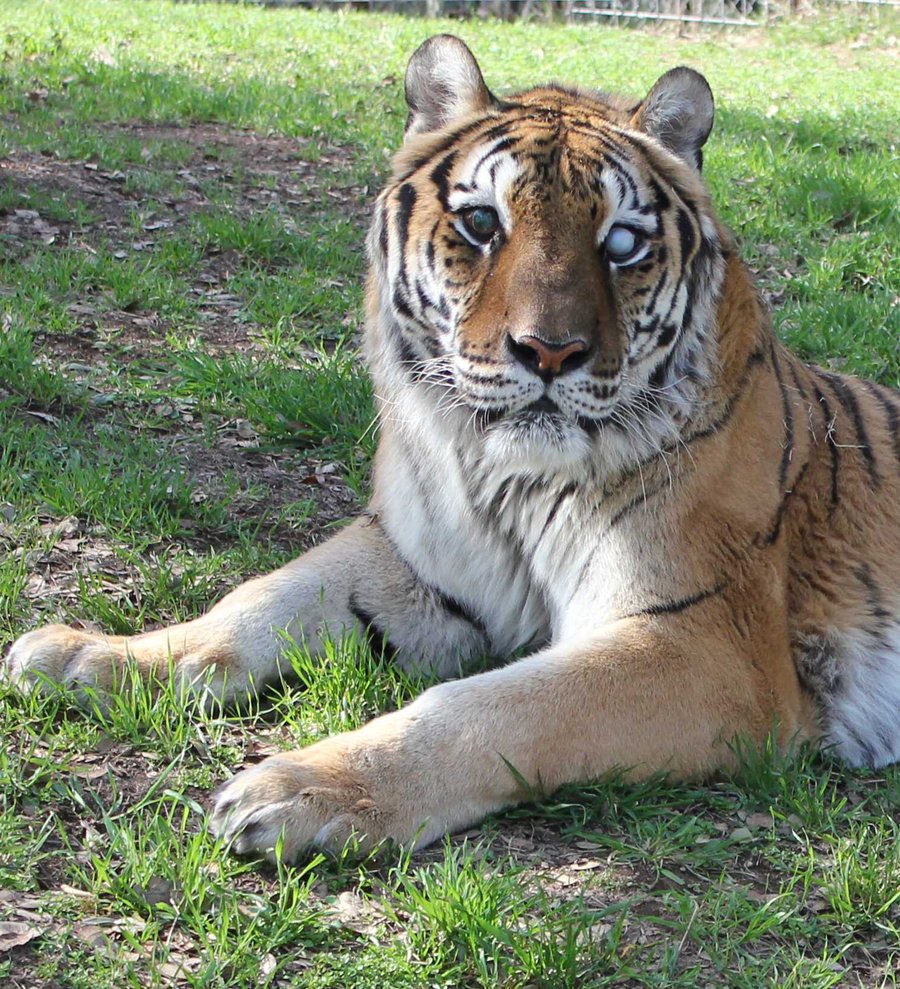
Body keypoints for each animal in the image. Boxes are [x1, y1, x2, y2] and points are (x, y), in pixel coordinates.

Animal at [7, 35, 900, 861]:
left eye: (620, 244)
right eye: (481, 223)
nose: (548, 351)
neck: (504, 475)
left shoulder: (704, 646)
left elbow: (487, 706)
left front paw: (304, 789)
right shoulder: (415, 559)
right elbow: (258, 598)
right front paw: (92, 657)